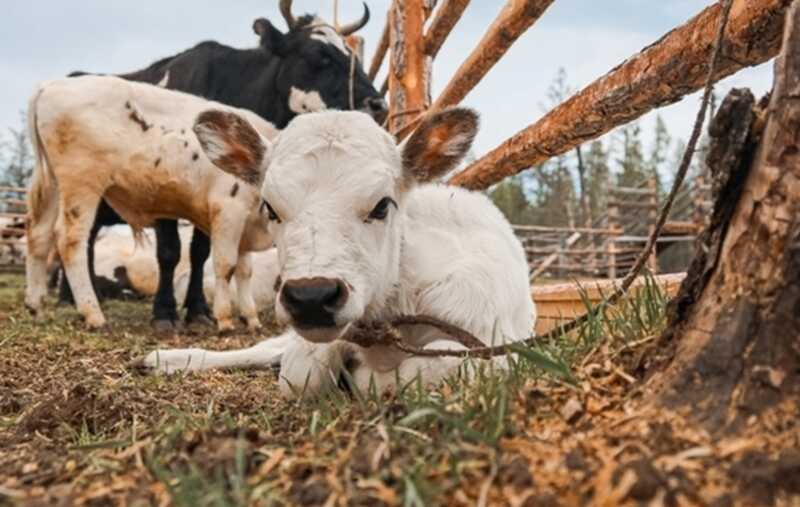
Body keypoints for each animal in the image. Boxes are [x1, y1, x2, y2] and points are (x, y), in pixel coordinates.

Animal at [23, 74, 280, 330]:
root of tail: (52, 85)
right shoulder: (228, 210)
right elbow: (226, 266)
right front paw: (225, 319)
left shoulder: (245, 221)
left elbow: (245, 270)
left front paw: (251, 317)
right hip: (81, 182)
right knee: (70, 240)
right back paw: (93, 314)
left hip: (53, 184)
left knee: (39, 235)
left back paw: (36, 307)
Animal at [57, 0, 386, 334]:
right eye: (319, 55)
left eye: (352, 55)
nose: (378, 105)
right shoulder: (167, 192)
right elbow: (170, 252)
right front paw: (165, 312)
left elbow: (200, 252)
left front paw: (198, 310)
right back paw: (69, 300)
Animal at [142, 109, 536, 398]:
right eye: (270, 207)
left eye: (382, 205)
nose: (311, 296)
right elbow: (299, 375)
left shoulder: (499, 352)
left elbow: (422, 368)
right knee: (261, 350)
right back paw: (167, 358)